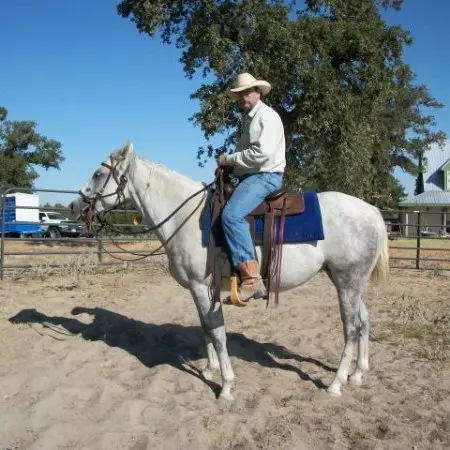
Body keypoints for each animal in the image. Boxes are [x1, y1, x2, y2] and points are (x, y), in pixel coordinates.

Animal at [68, 142, 388, 400]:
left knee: (351, 328)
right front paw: (210, 369)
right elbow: (205, 328)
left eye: (98, 174)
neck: (185, 218)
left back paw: (336, 384)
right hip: (347, 281)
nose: (74, 204)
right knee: (364, 320)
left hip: (347, 281)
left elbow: (218, 333)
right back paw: (358, 374)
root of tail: (371, 212)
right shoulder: (199, 290)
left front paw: (226, 387)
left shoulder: (201, 287)